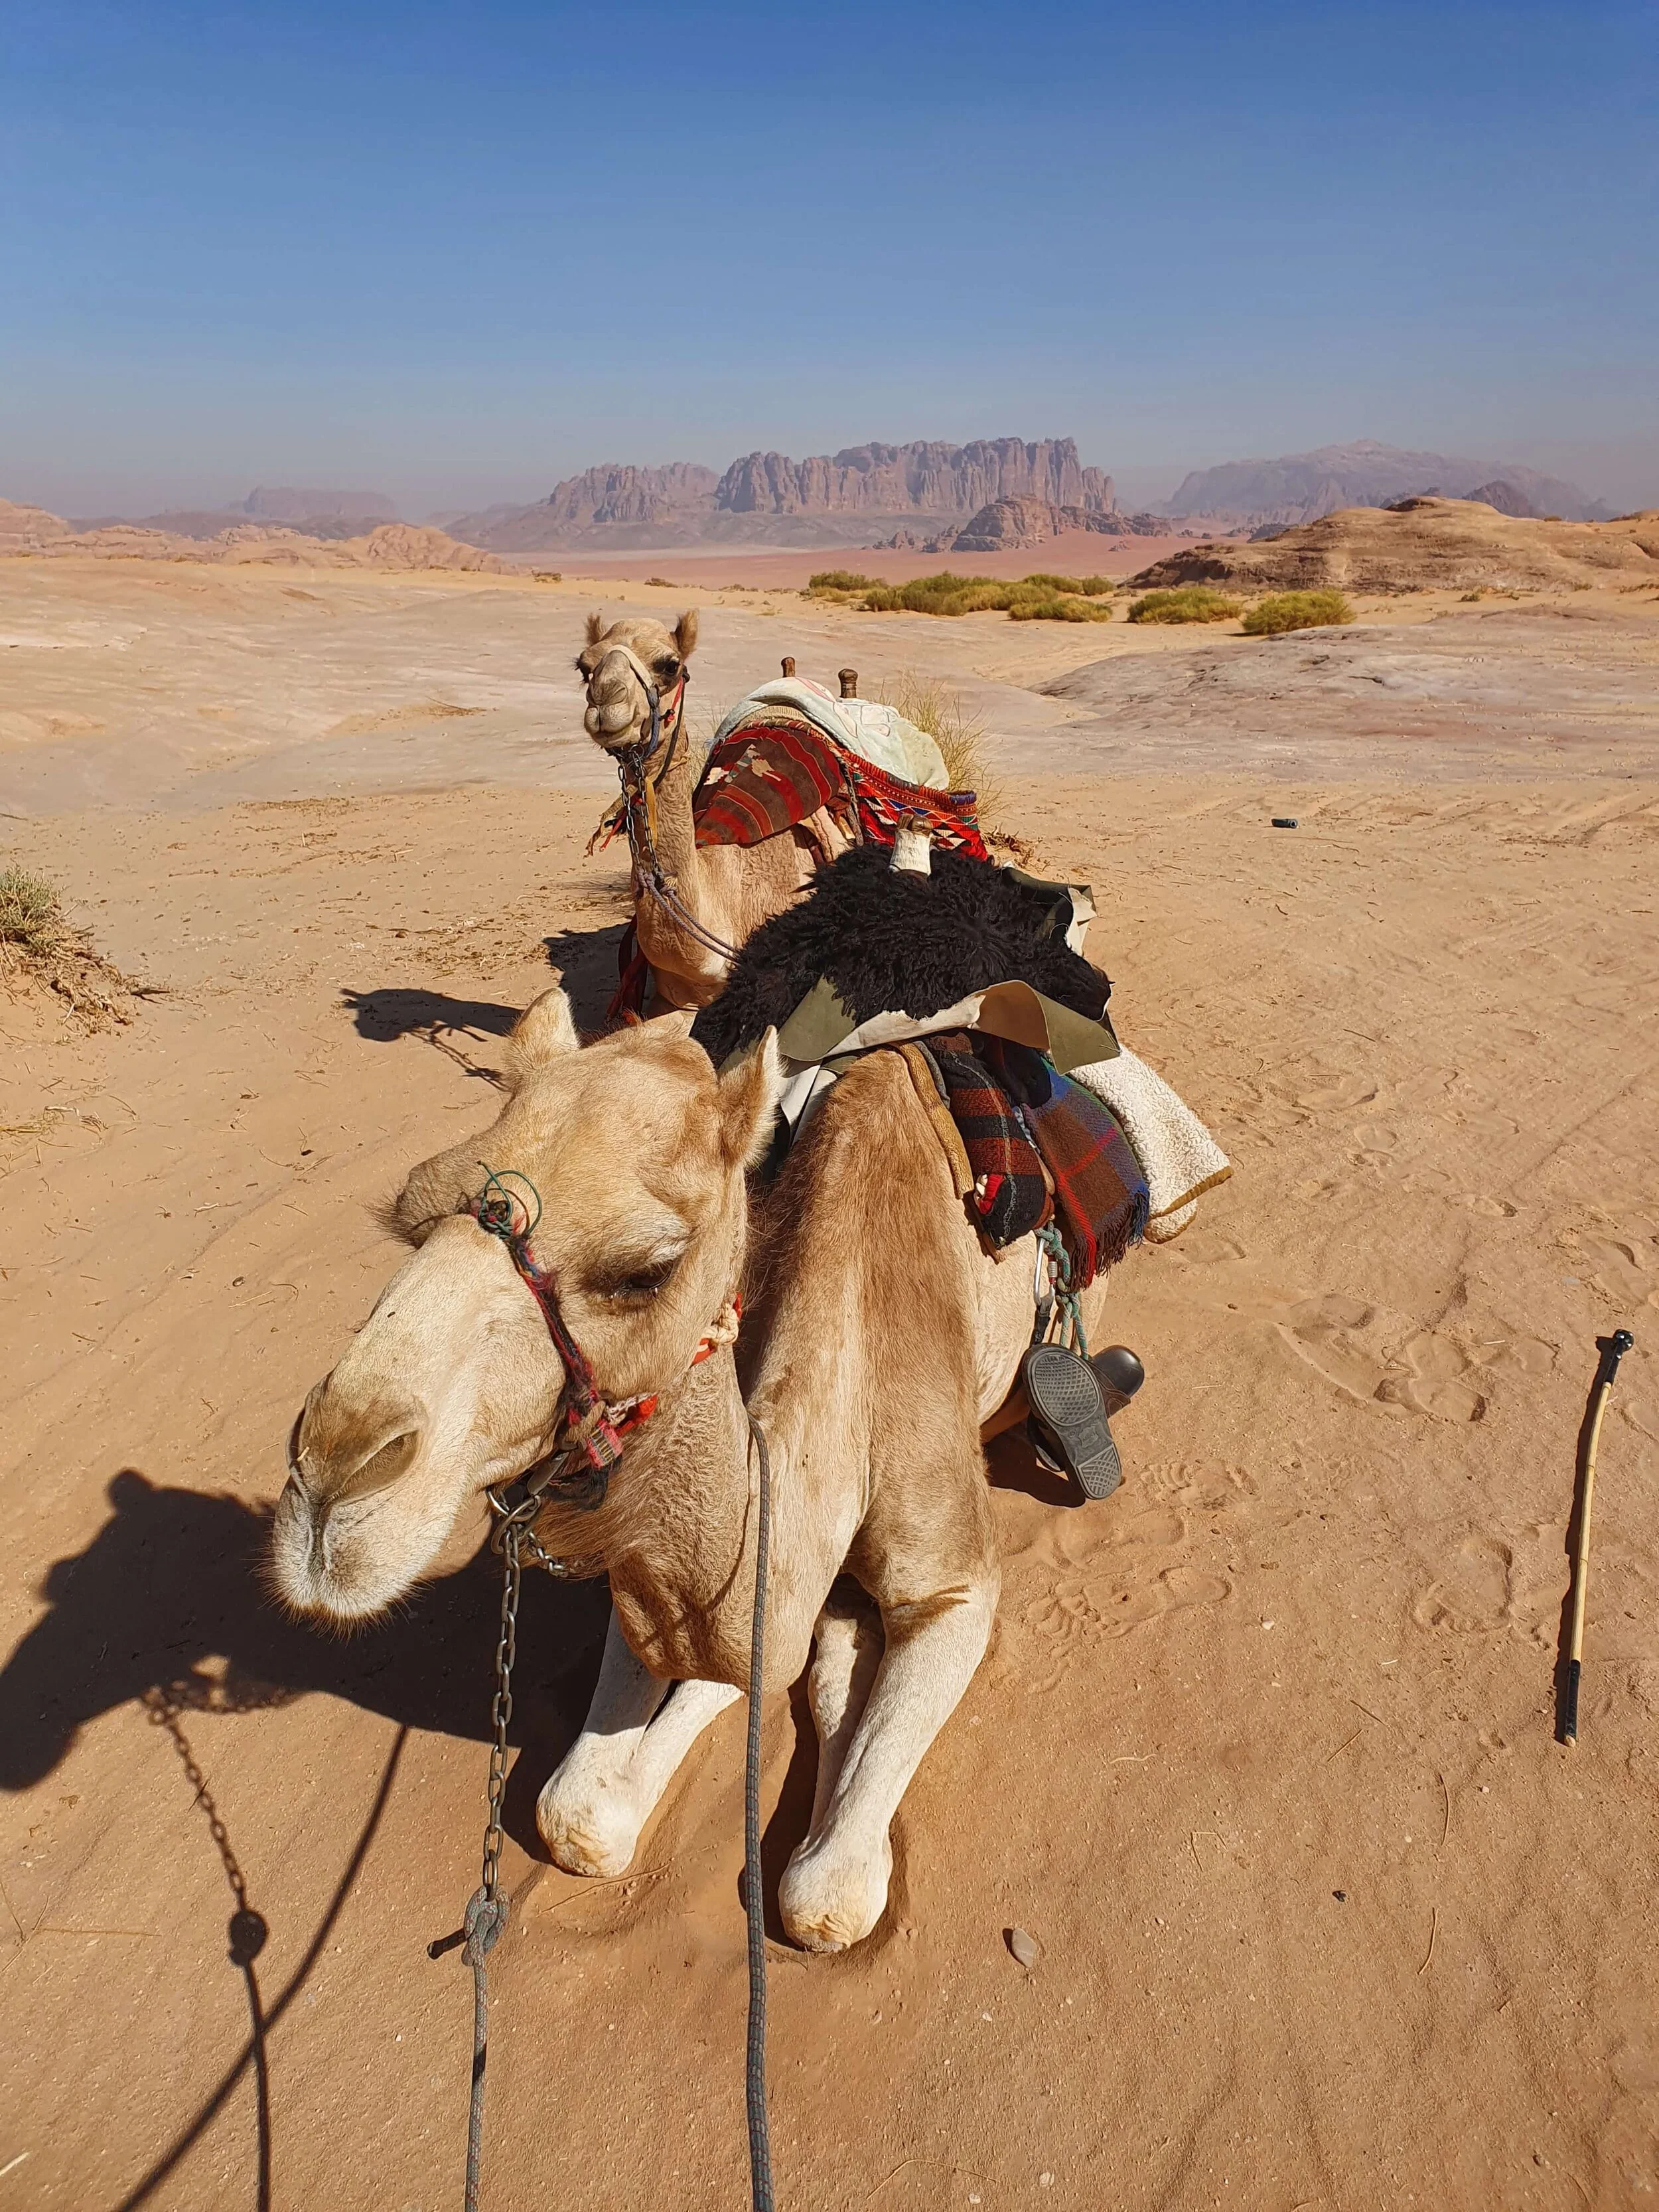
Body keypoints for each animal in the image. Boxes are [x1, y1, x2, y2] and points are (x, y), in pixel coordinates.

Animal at [271, 986, 1110, 1951]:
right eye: (409, 1218)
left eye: (649, 1270)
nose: (331, 1478)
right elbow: (580, 1812)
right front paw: (831, 1650)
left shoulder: (956, 1580)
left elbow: (826, 1898)